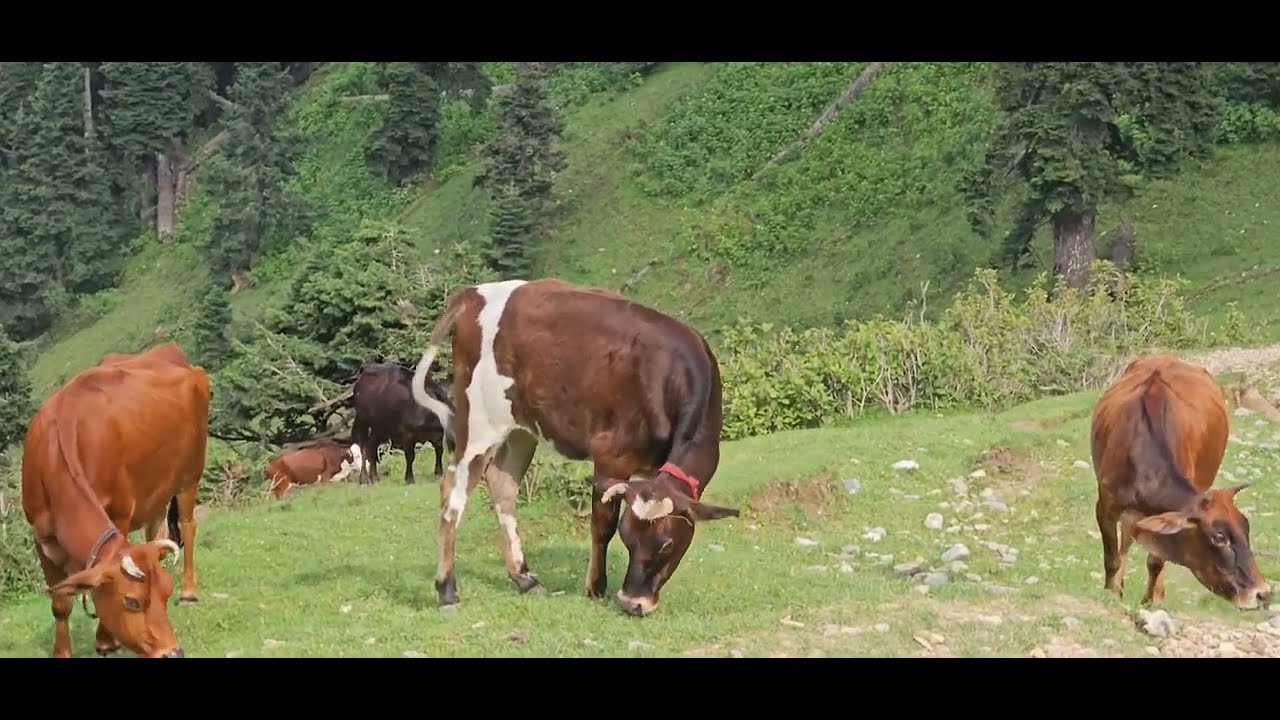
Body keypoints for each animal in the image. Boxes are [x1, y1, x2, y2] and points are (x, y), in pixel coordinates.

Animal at [21, 342, 211, 658]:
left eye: (165, 593)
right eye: (132, 601)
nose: (173, 652)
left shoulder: (119, 513)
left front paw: (105, 639)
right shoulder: (40, 534)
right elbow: (60, 601)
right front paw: (61, 651)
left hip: (190, 474)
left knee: (187, 524)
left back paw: (189, 590)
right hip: (156, 491)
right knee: (156, 531)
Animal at [409, 278, 739, 618]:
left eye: (666, 544)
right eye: (628, 538)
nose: (630, 602)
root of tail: (472, 293)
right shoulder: (611, 456)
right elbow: (602, 524)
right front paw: (595, 587)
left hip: (521, 429)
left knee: (503, 485)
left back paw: (524, 578)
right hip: (478, 424)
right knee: (453, 492)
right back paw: (447, 591)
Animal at [1090, 353, 1272, 611]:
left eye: (1246, 529)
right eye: (1219, 537)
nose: (1263, 594)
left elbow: (1156, 560)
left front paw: (1151, 601)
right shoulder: (1105, 504)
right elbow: (1112, 557)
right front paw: (1112, 593)